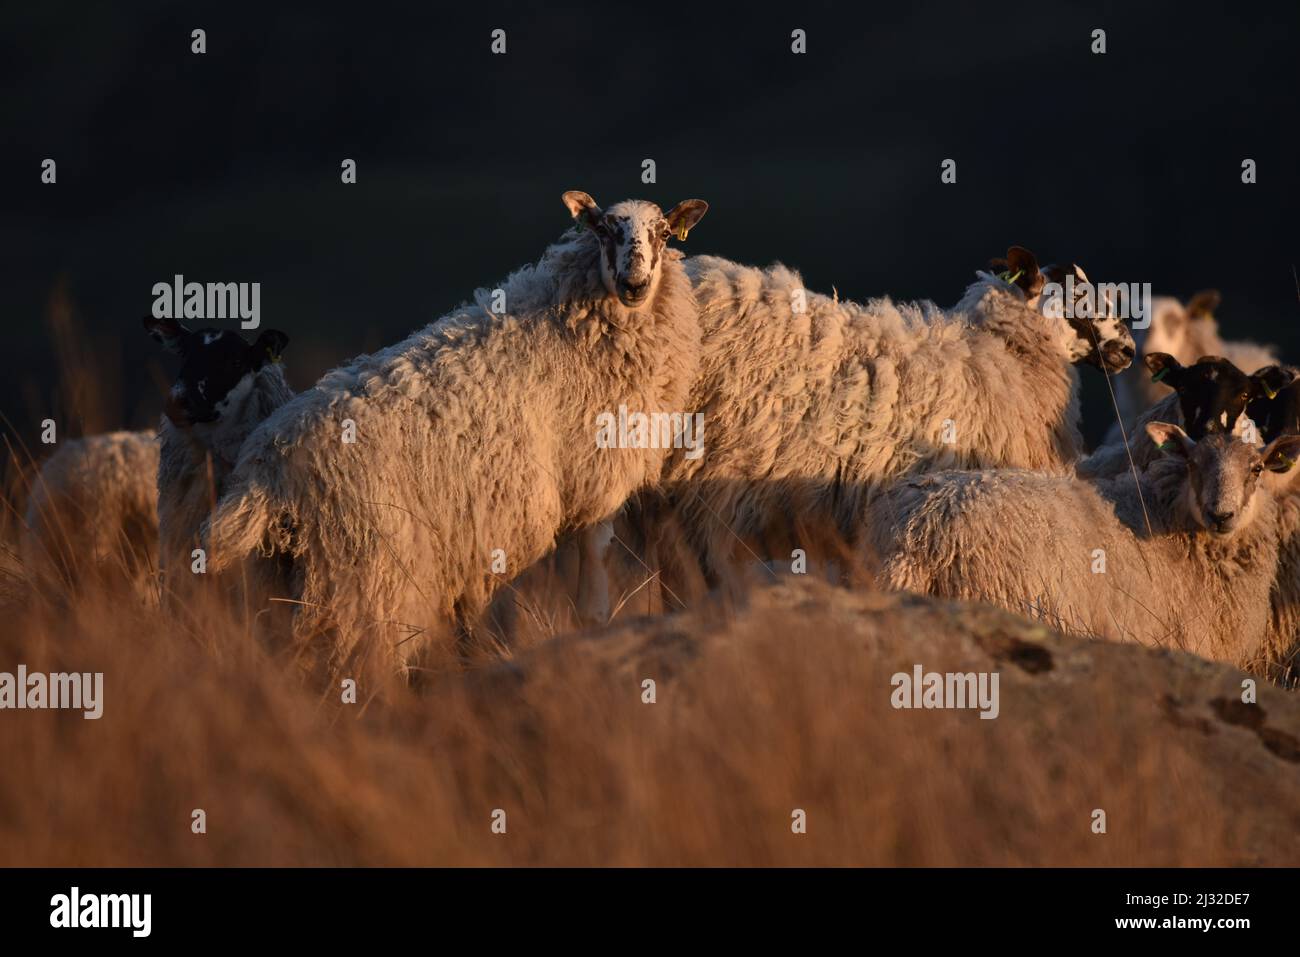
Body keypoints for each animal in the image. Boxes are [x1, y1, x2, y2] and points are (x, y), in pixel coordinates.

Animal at [203, 191, 709, 676]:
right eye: (603, 230)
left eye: (664, 233)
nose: (634, 283)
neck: (575, 320)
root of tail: (264, 470)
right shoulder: (595, 477)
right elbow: (595, 576)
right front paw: (595, 627)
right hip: (367, 568)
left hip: (288, 573)